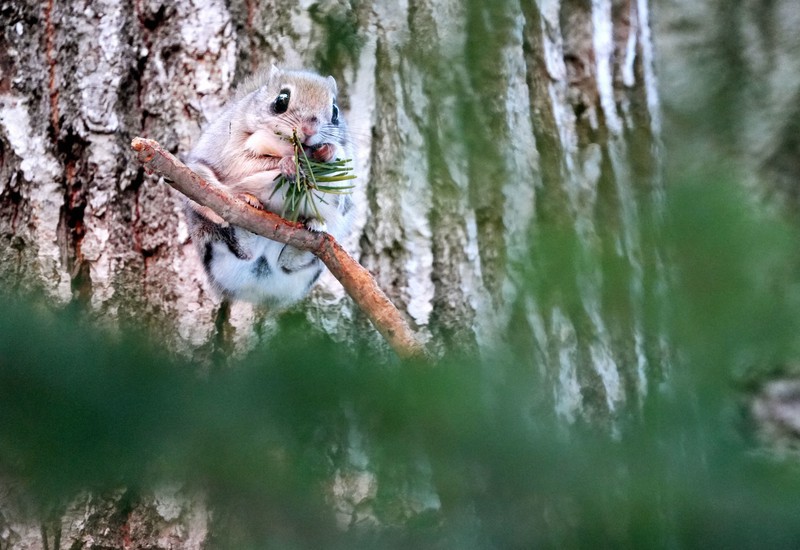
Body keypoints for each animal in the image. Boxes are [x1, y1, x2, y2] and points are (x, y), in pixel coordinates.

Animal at [184, 66, 355, 306]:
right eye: (281, 100)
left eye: (335, 111)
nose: (310, 130)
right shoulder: (236, 149)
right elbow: (251, 163)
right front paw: (288, 163)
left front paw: (328, 152)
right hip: (202, 195)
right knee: (237, 243)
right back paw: (246, 207)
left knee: (292, 261)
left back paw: (312, 227)